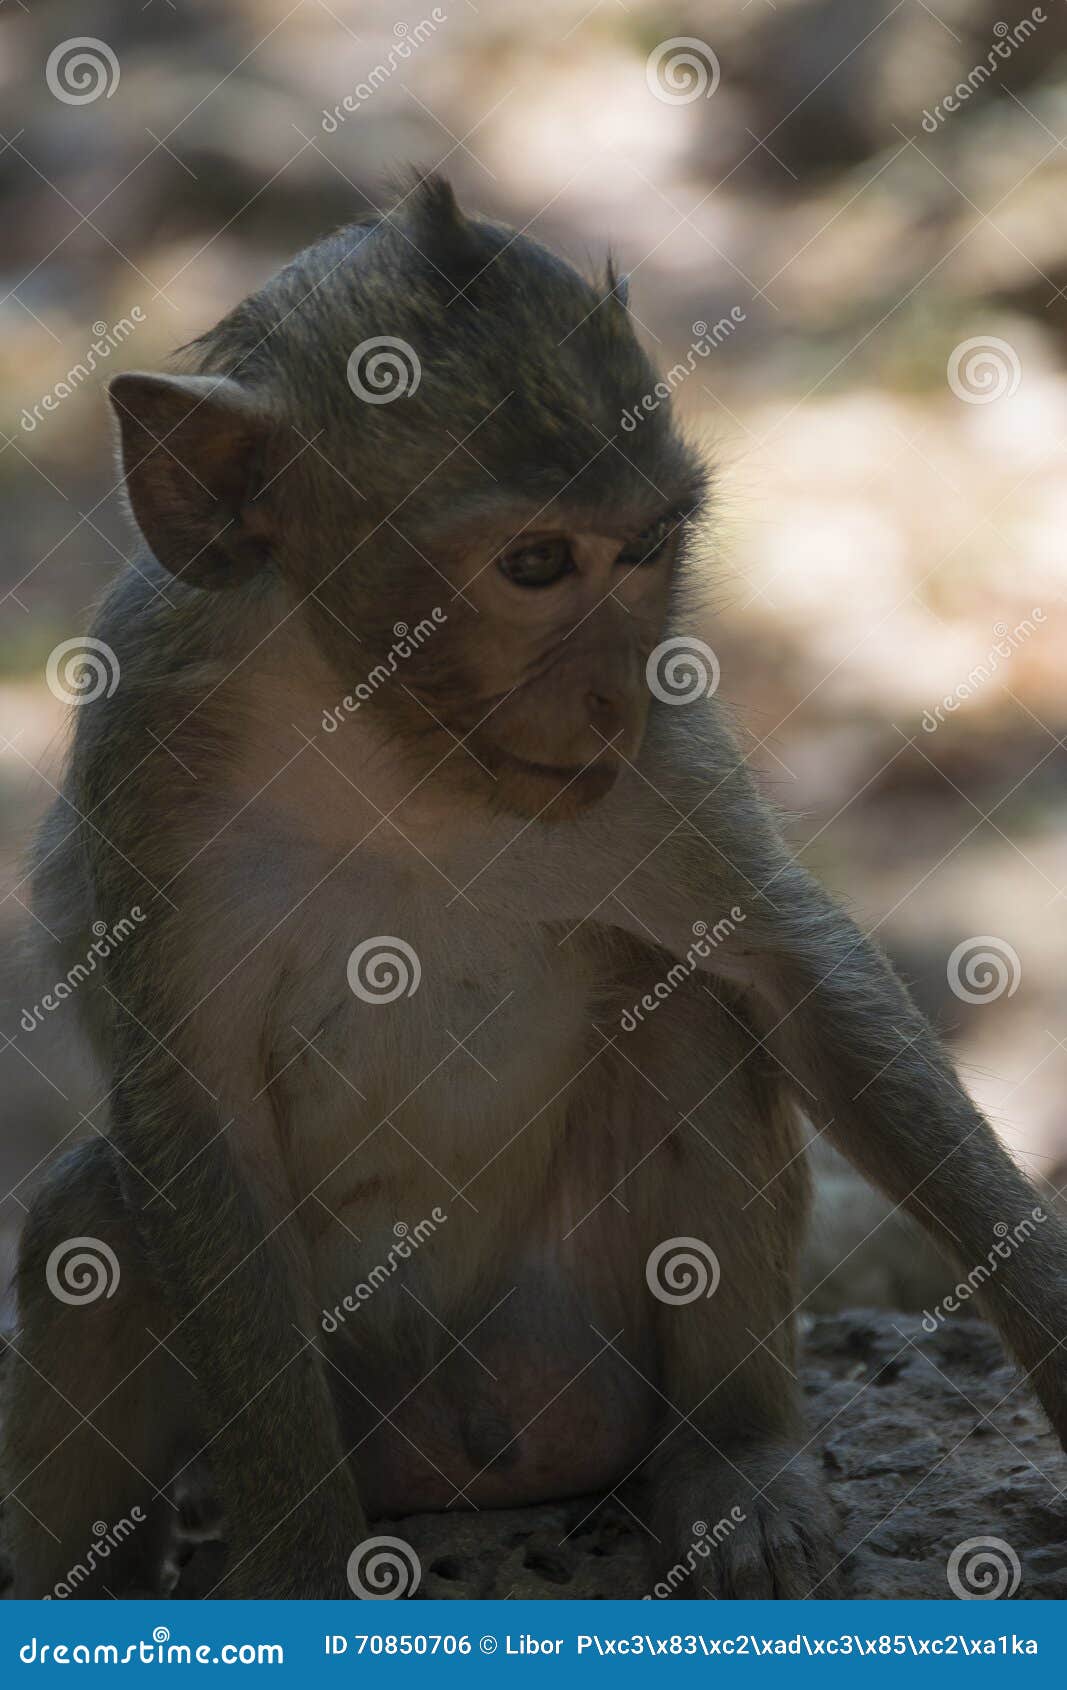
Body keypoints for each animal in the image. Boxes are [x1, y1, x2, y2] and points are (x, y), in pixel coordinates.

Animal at [4, 174, 1067, 1601]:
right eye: (533, 564)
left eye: (647, 545)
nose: (614, 693)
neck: (381, 742)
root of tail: (457, 1458)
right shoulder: (144, 761)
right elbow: (194, 1120)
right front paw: (299, 1561)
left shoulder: (658, 763)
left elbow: (793, 981)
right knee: (96, 1221)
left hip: (579, 1348)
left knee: (691, 1022)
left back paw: (731, 1458)